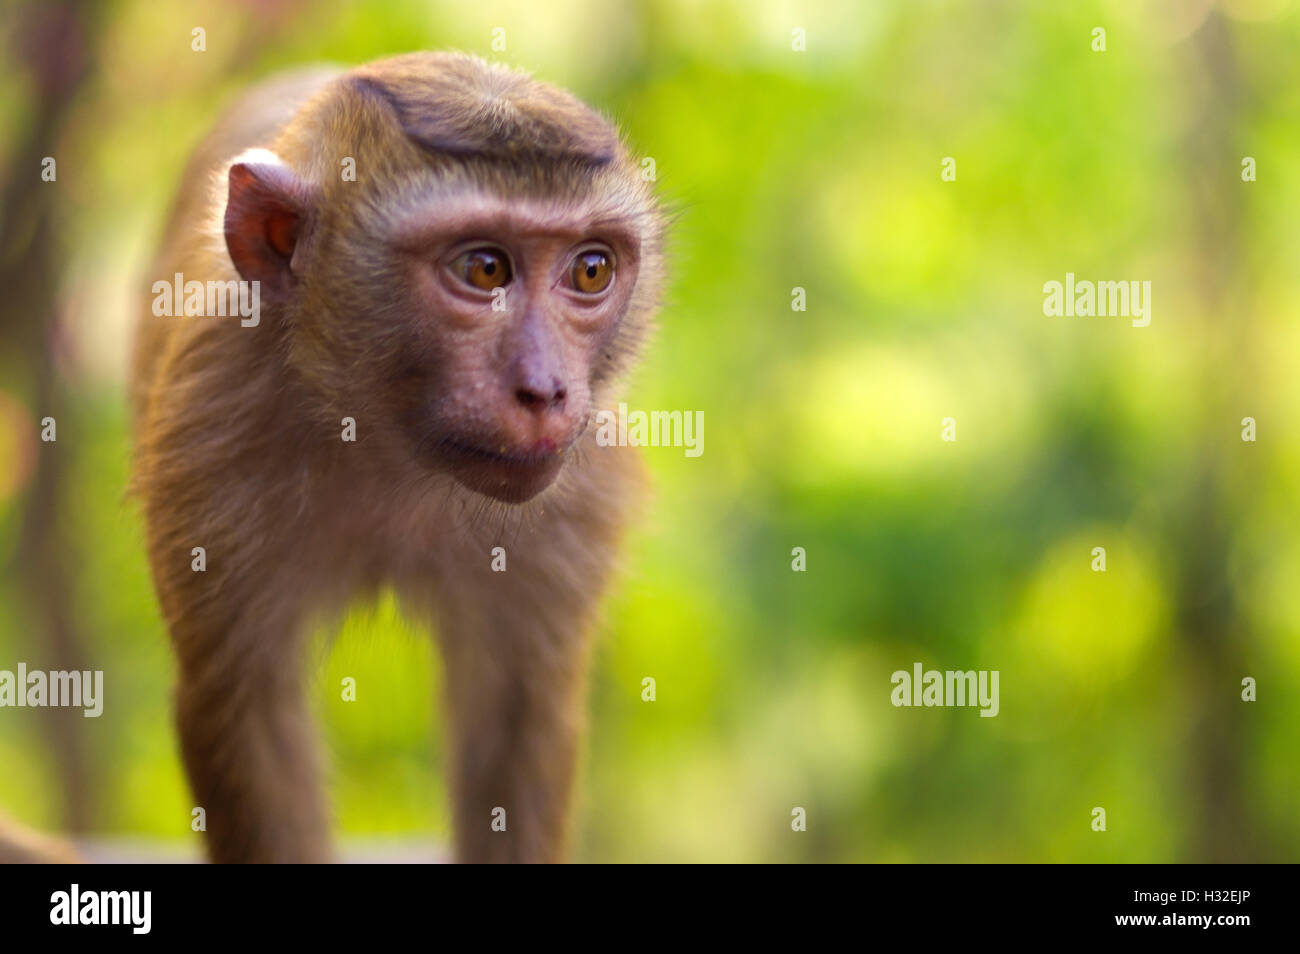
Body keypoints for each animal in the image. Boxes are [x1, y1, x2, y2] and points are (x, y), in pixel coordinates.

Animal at [127, 52, 664, 863]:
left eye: (592, 271)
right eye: (484, 270)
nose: (546, 391)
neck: (386, 438)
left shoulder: (574, 496)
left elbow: (515, 723)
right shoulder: (209, 428)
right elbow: (247, 708)